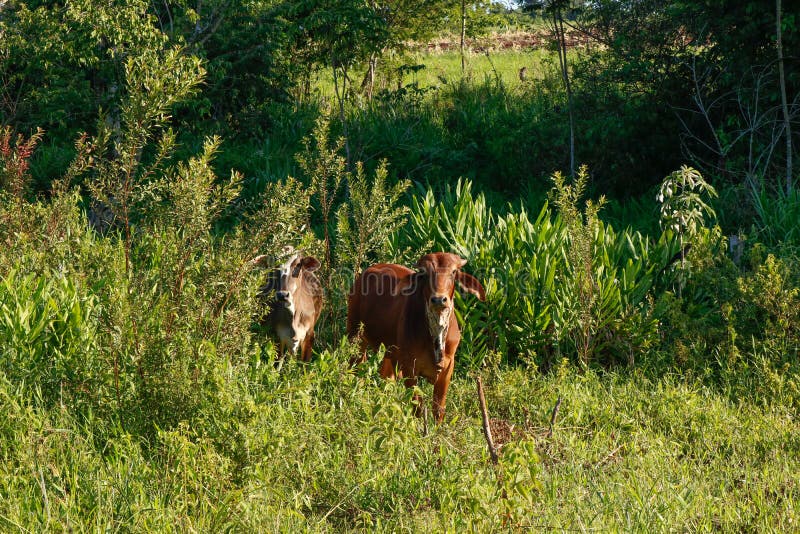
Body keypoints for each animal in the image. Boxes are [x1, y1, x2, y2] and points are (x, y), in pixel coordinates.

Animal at [347, 252, 486, 423]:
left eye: (453, 272)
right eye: (425, 273)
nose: (438, 299)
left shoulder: (448, 367)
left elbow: (438, 410)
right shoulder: (409, 367)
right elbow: (417, 408)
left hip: (388, 352)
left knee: (386, 377)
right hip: (355, 338)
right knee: (354, 370)